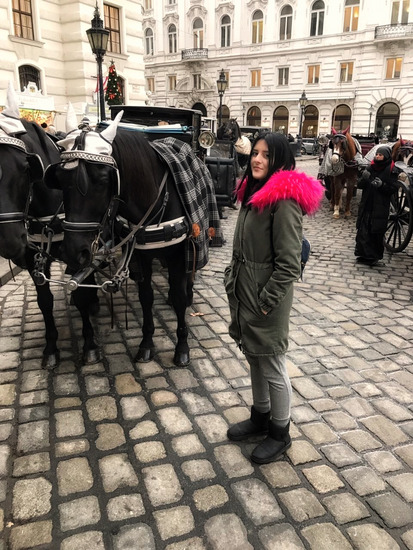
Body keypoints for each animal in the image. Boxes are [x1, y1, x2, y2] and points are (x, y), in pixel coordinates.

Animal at [0, 105, 99, 368]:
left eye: (26, 168)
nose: (10, 242)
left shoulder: (81, 251)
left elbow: (82, 293)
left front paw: (90, 344)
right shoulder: (33, 257)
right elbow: (45, 301)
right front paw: (51, 348)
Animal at [44, 112, 219, 368]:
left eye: (102, 179)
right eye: (59, 178)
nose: (73, 252)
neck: (155, 199)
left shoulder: (178, 255)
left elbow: (178, 298)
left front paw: (182, 347)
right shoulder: (139, 255)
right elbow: (146, 298)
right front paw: (146, 344)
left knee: (190, 272)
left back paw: (189, 291)